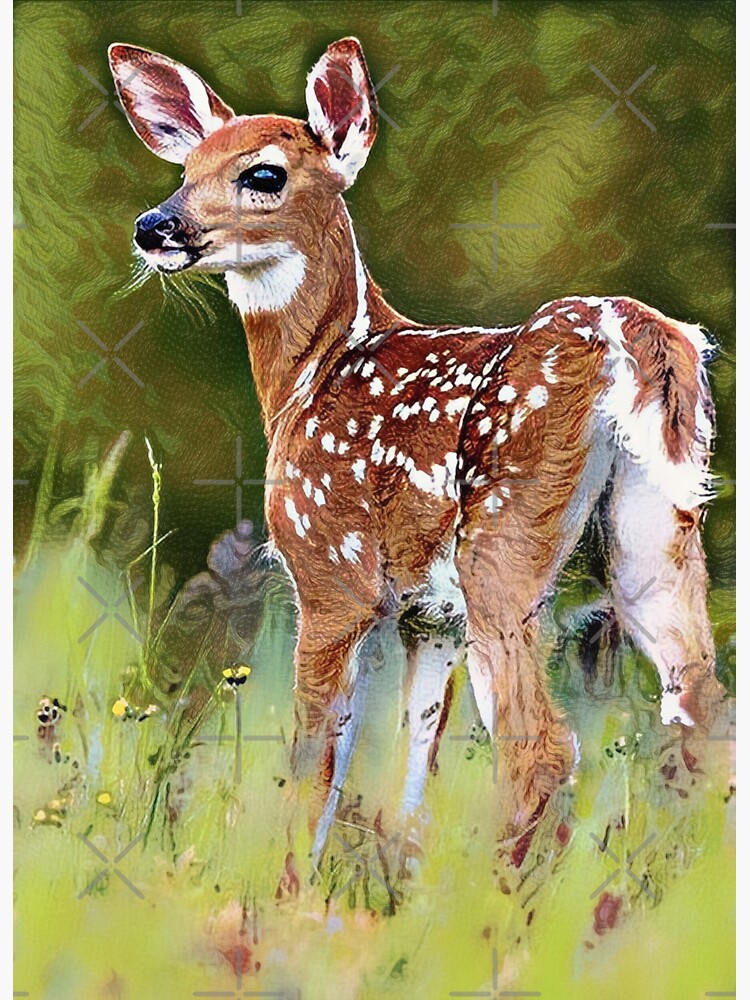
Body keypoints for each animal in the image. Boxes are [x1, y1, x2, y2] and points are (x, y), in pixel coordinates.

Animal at [109, 37, 725, 876]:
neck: (310, 378)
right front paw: (397, 890)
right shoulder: (427, 618)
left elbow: (313, 765)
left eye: (262, 174)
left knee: (542, 747)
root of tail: (632, 333)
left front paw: (282, 891)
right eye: (185, 169)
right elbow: (409, 772)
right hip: (655, 531)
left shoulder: (333, 572)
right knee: (703, 714)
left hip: (503, 537)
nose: (154, 226)